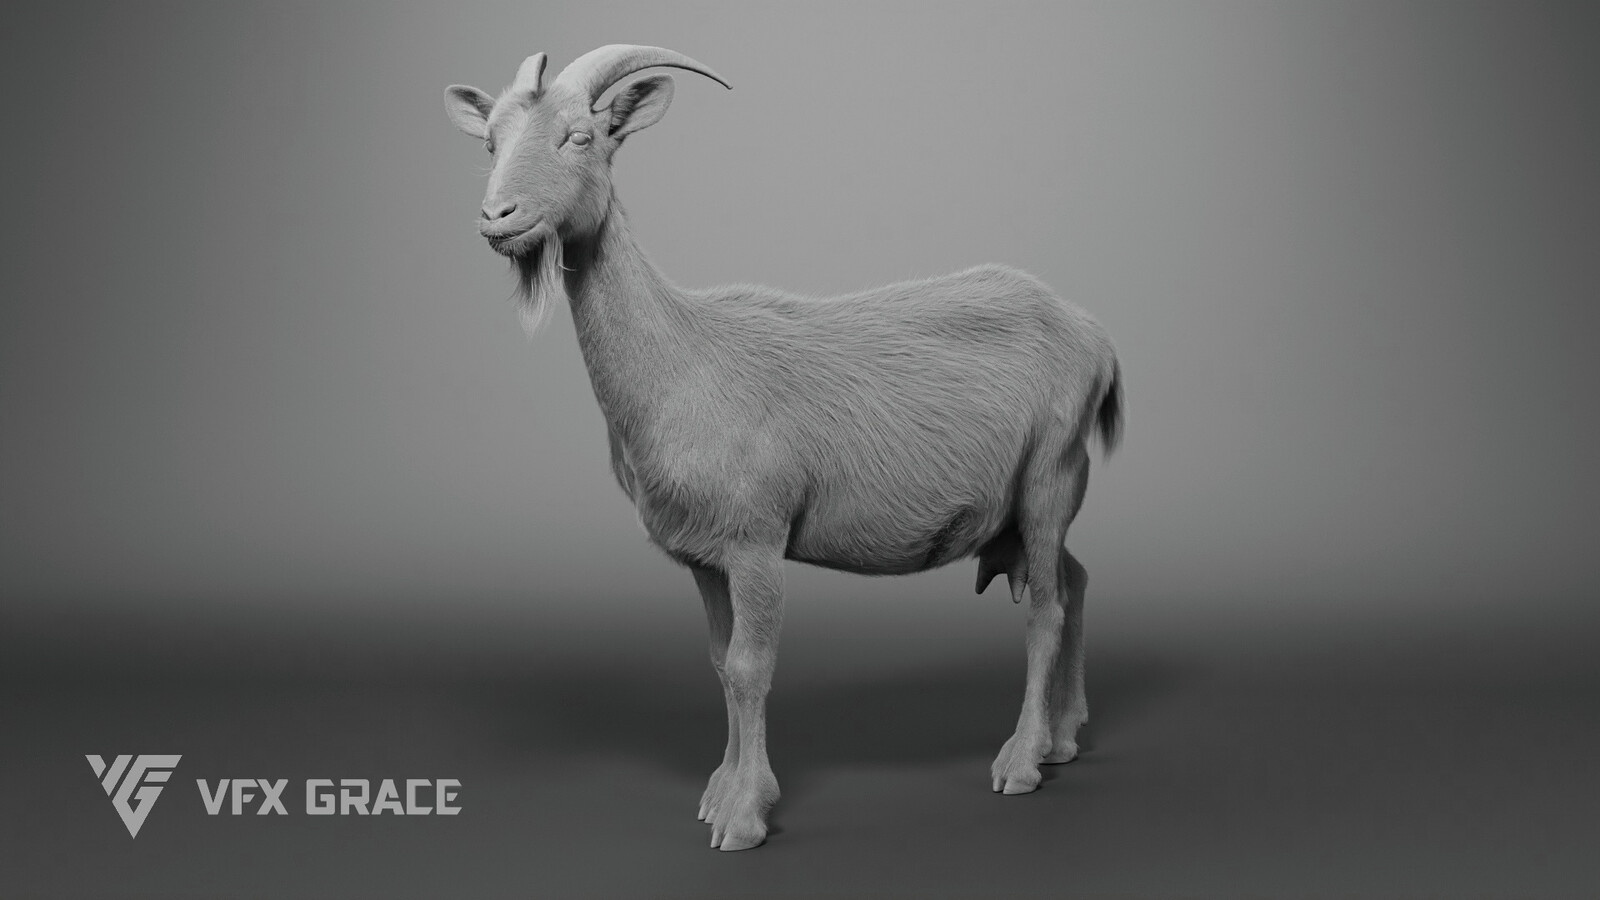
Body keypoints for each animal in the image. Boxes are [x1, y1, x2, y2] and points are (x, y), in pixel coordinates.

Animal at [444, 45, 1124, 851]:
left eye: (581, 136)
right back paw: (1064, 736)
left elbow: (750, 665)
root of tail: (1094, 335)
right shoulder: (705, 555)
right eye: (490, 141)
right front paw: (719, 792)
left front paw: (744, 815)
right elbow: (719, 663)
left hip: (1051, 470)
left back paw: (1020, 761)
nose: (498, 217)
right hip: (1043, 496)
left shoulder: (757, 540)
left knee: (1045, 609)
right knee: (1075, 578)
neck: (684, 358)